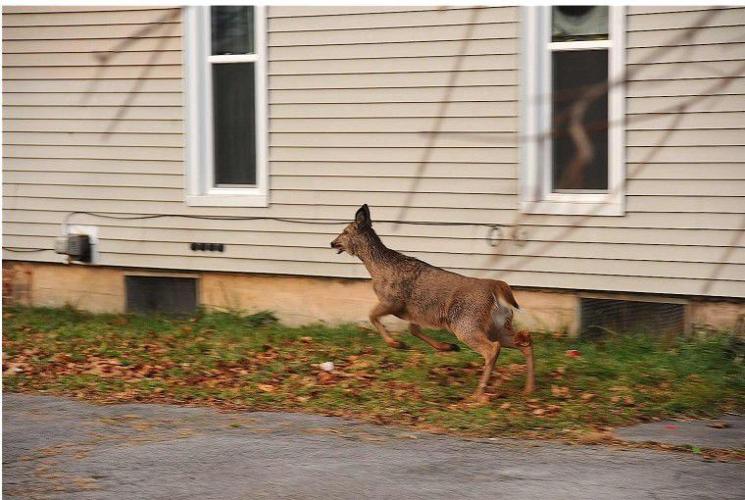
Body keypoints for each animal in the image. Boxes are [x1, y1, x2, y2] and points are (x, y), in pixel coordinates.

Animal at [331, 204, 535, 400]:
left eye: (345, 231)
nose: (332, 242)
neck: (377, 269)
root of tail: (496, 288)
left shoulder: (393, 300)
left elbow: (372, 316)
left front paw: (397, 344)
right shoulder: (413, 311)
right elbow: (413, 329)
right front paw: (448, 347)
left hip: (467, 323)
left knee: (493, 348)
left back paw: (478, 394)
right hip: (496, 325)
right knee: (525, 343)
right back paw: (528, 389)